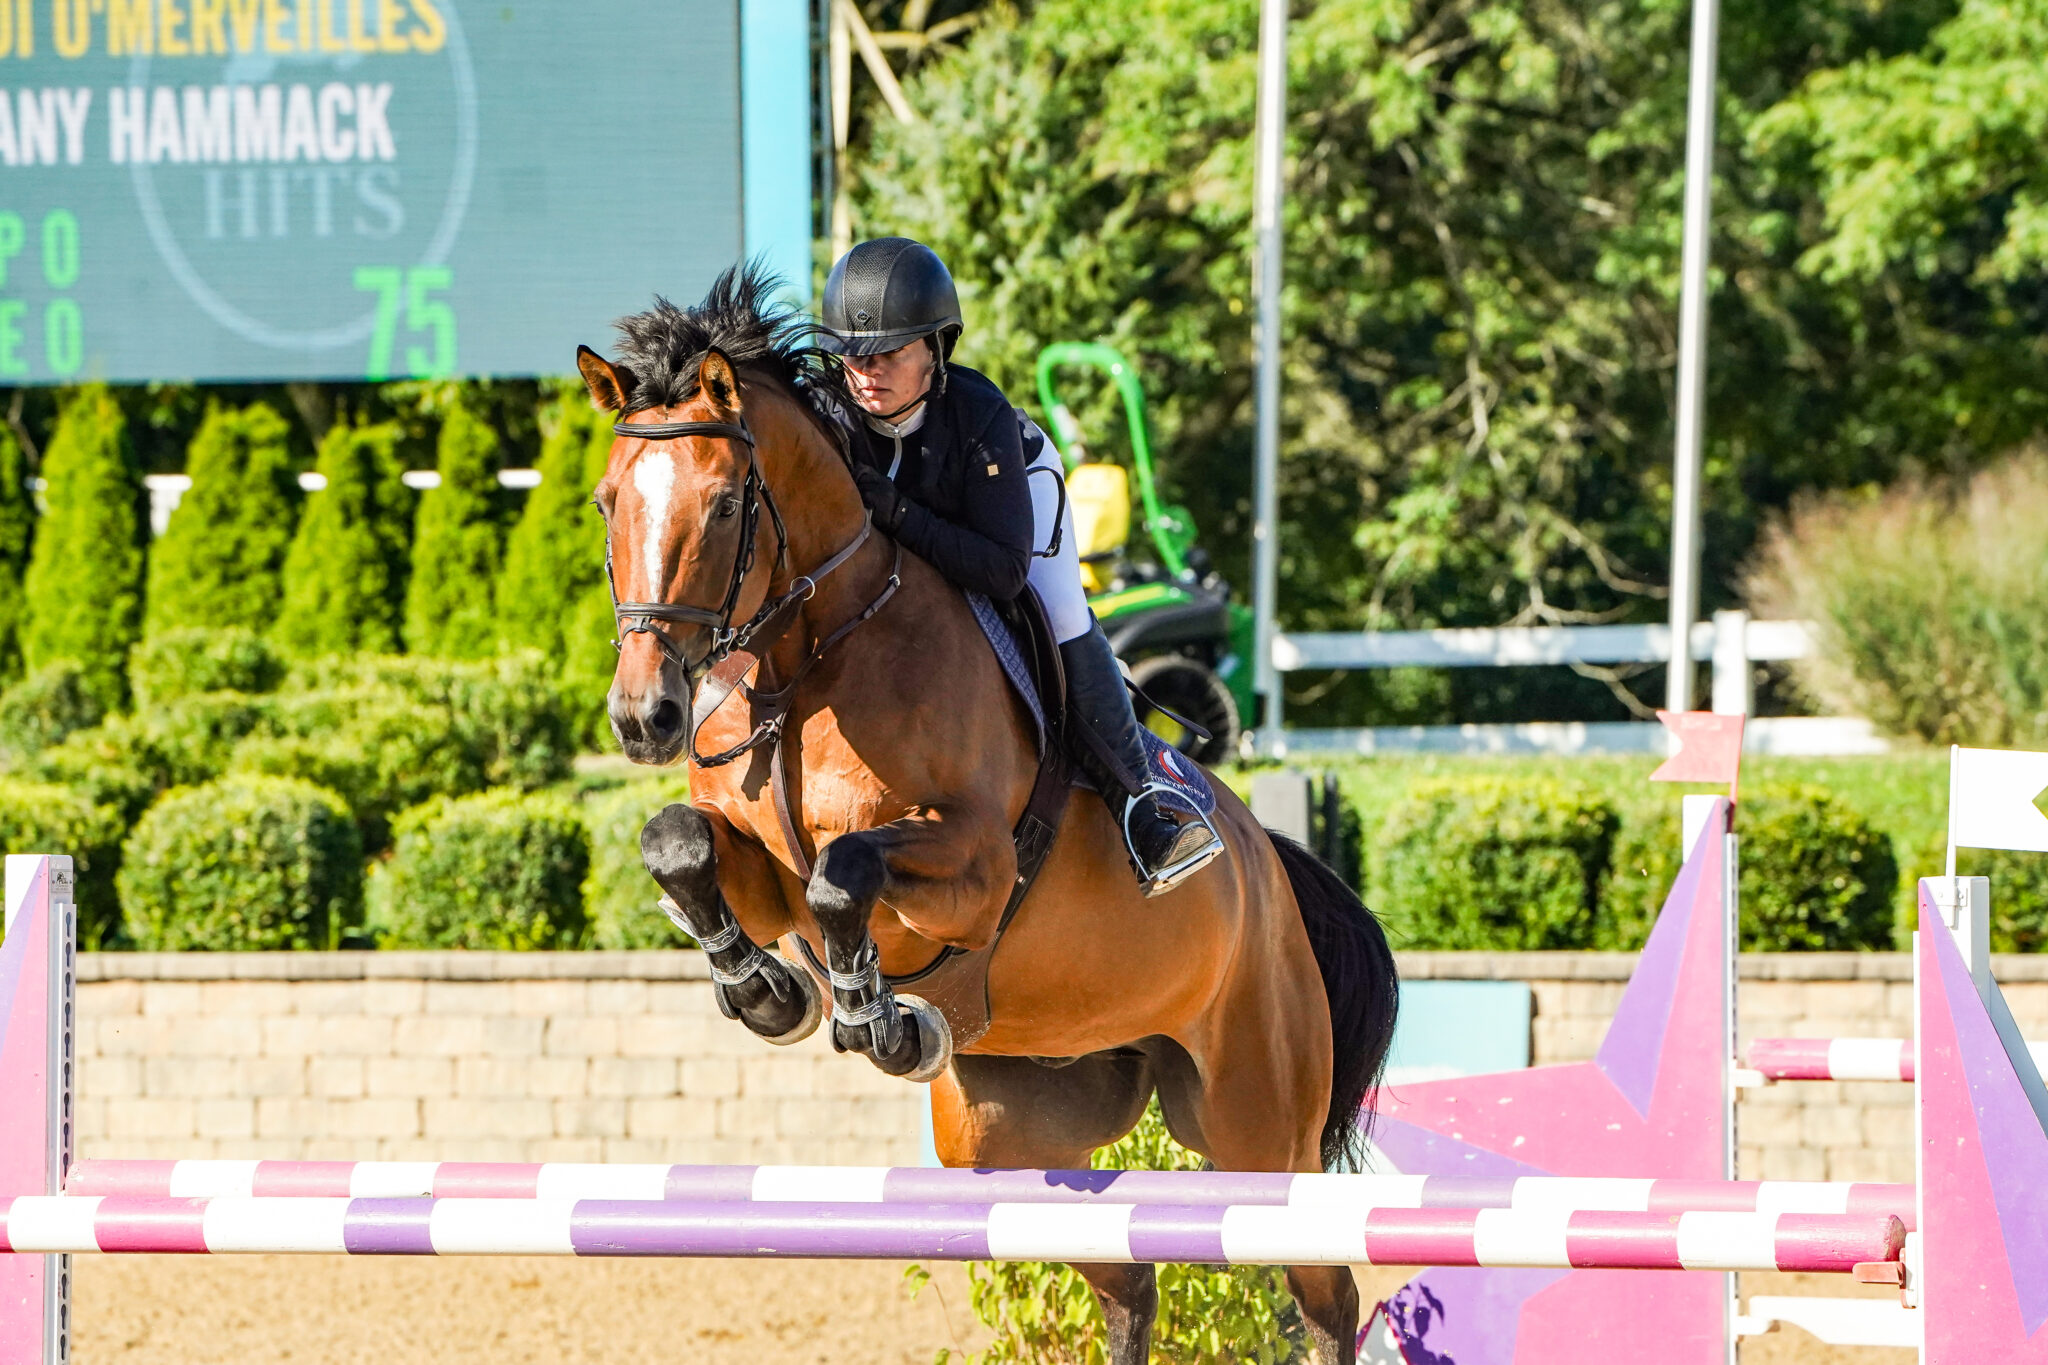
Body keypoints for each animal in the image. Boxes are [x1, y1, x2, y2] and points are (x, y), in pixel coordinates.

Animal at [578, 267, 1398, 1364]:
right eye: (607, 501)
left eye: (720, 506)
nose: (645, 716)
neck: (809, 659)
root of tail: (1269, 867)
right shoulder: (758, 868)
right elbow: (678, 847)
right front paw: (769, 993)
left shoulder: (969, 868)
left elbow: (846, 871)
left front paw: (875, 1017)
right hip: (1014, 1141)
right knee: (1129, 1285)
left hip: (1258, 1123)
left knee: (1325, 1296)